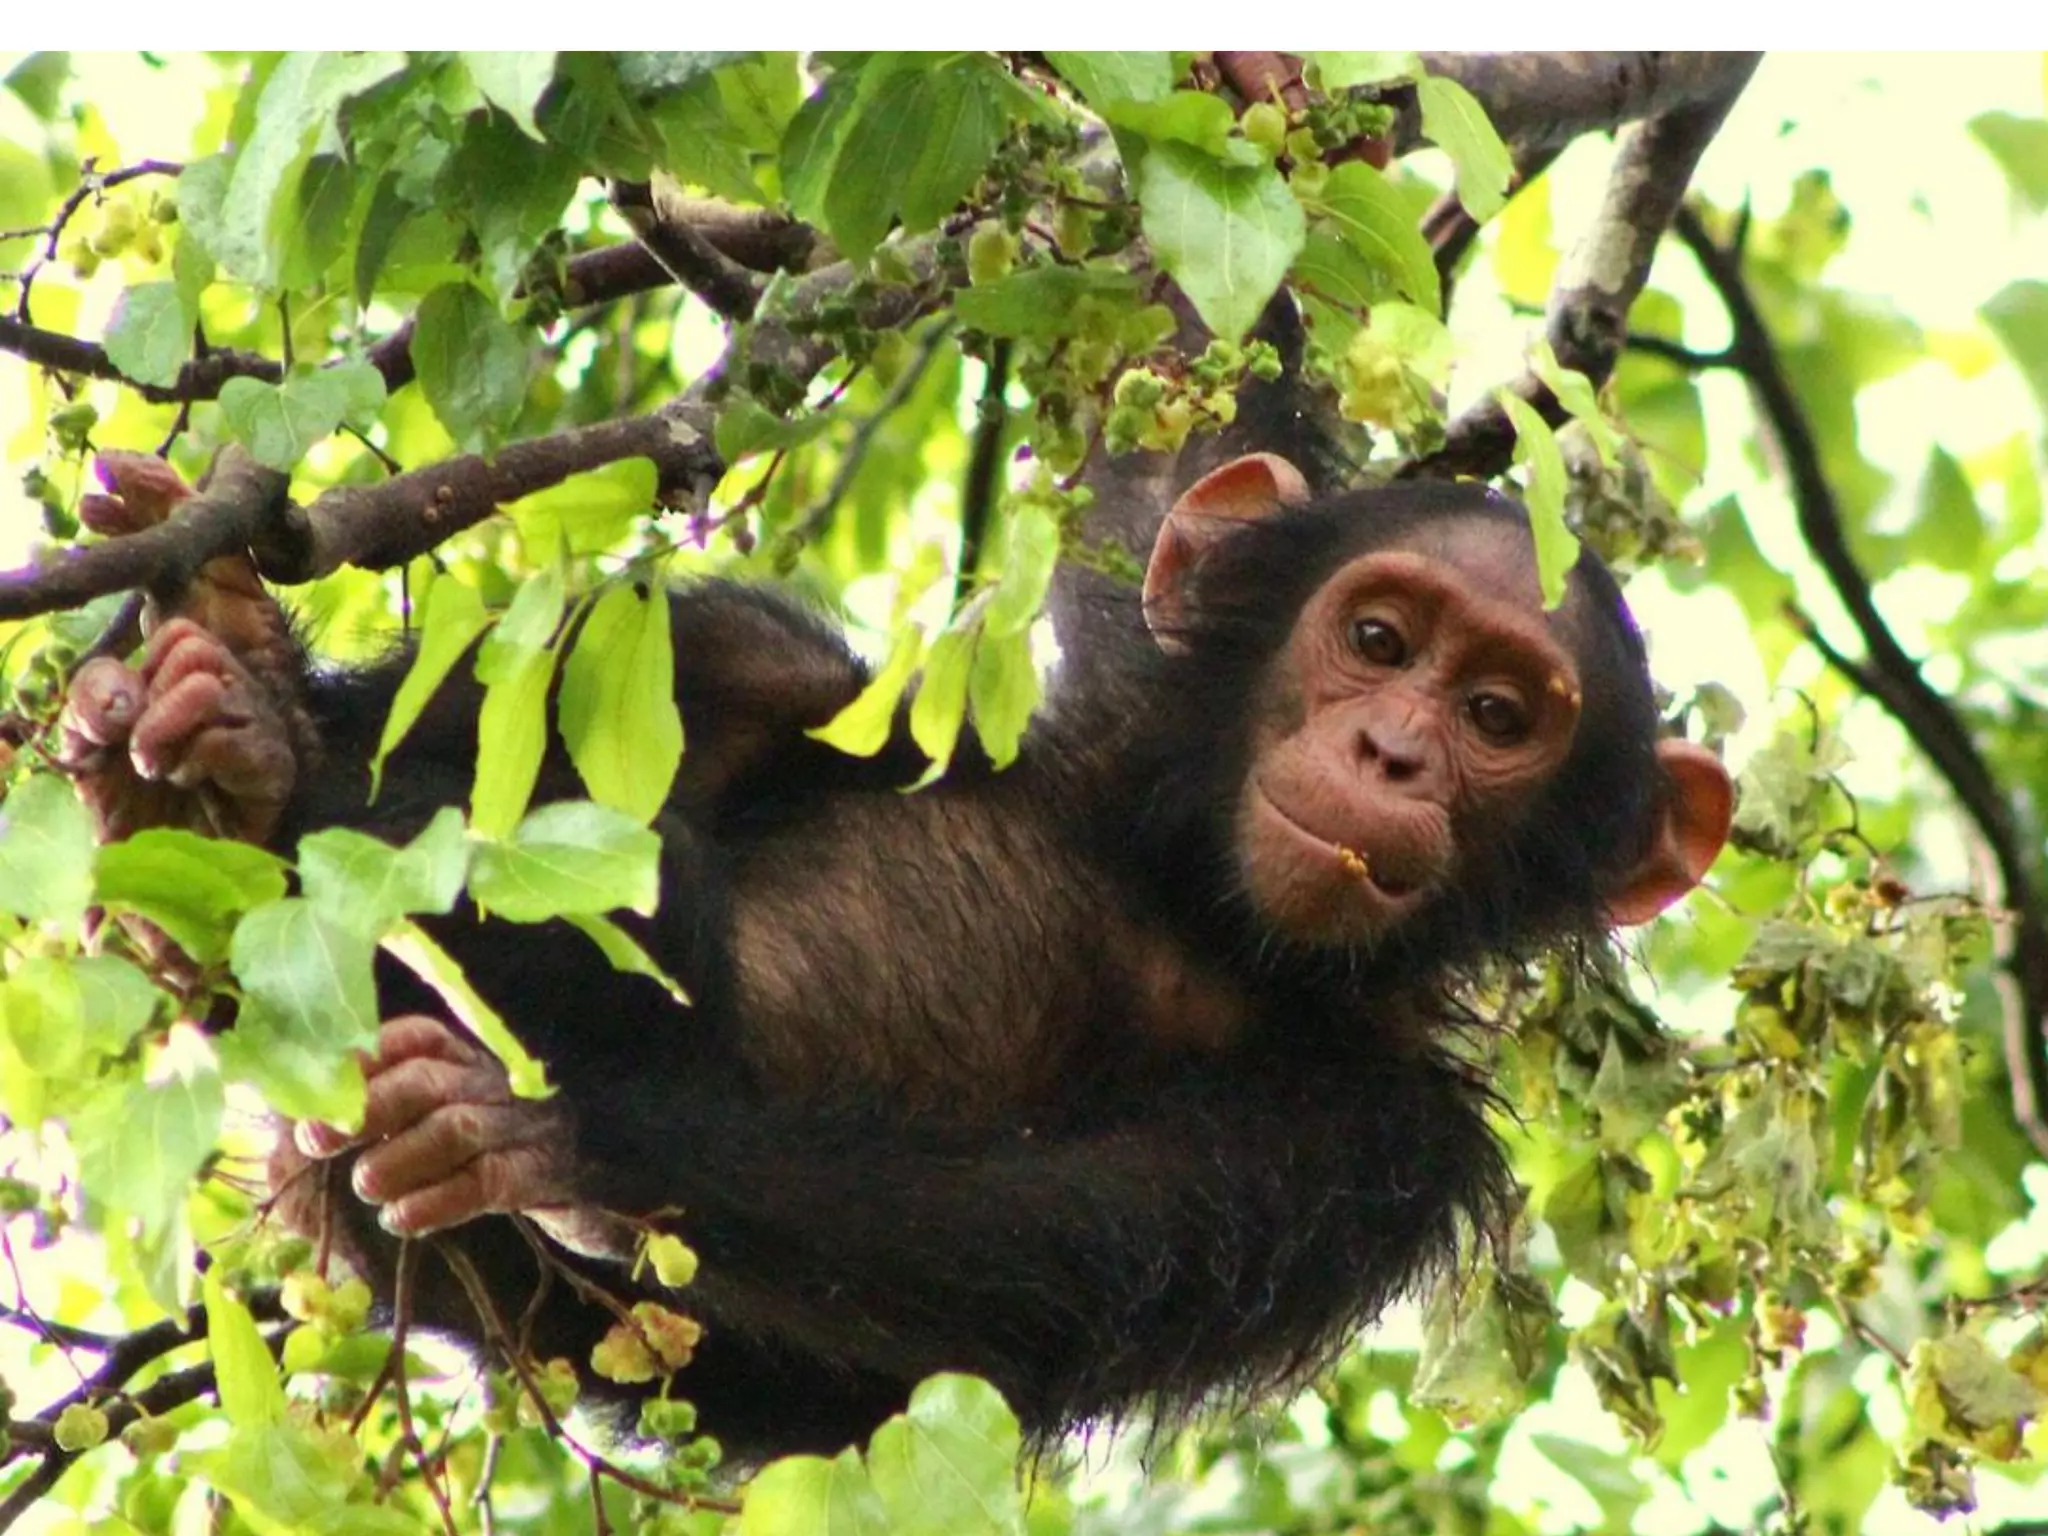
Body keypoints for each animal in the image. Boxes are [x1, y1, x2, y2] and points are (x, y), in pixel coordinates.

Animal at [60, 450, 1733, 1460]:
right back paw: (236, 735)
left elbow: (1034, 1250)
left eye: (1499, 718)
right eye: (1380, 641)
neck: (1178, 883)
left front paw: (556, 1137)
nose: (1392, 752)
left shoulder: (1387, 1149)